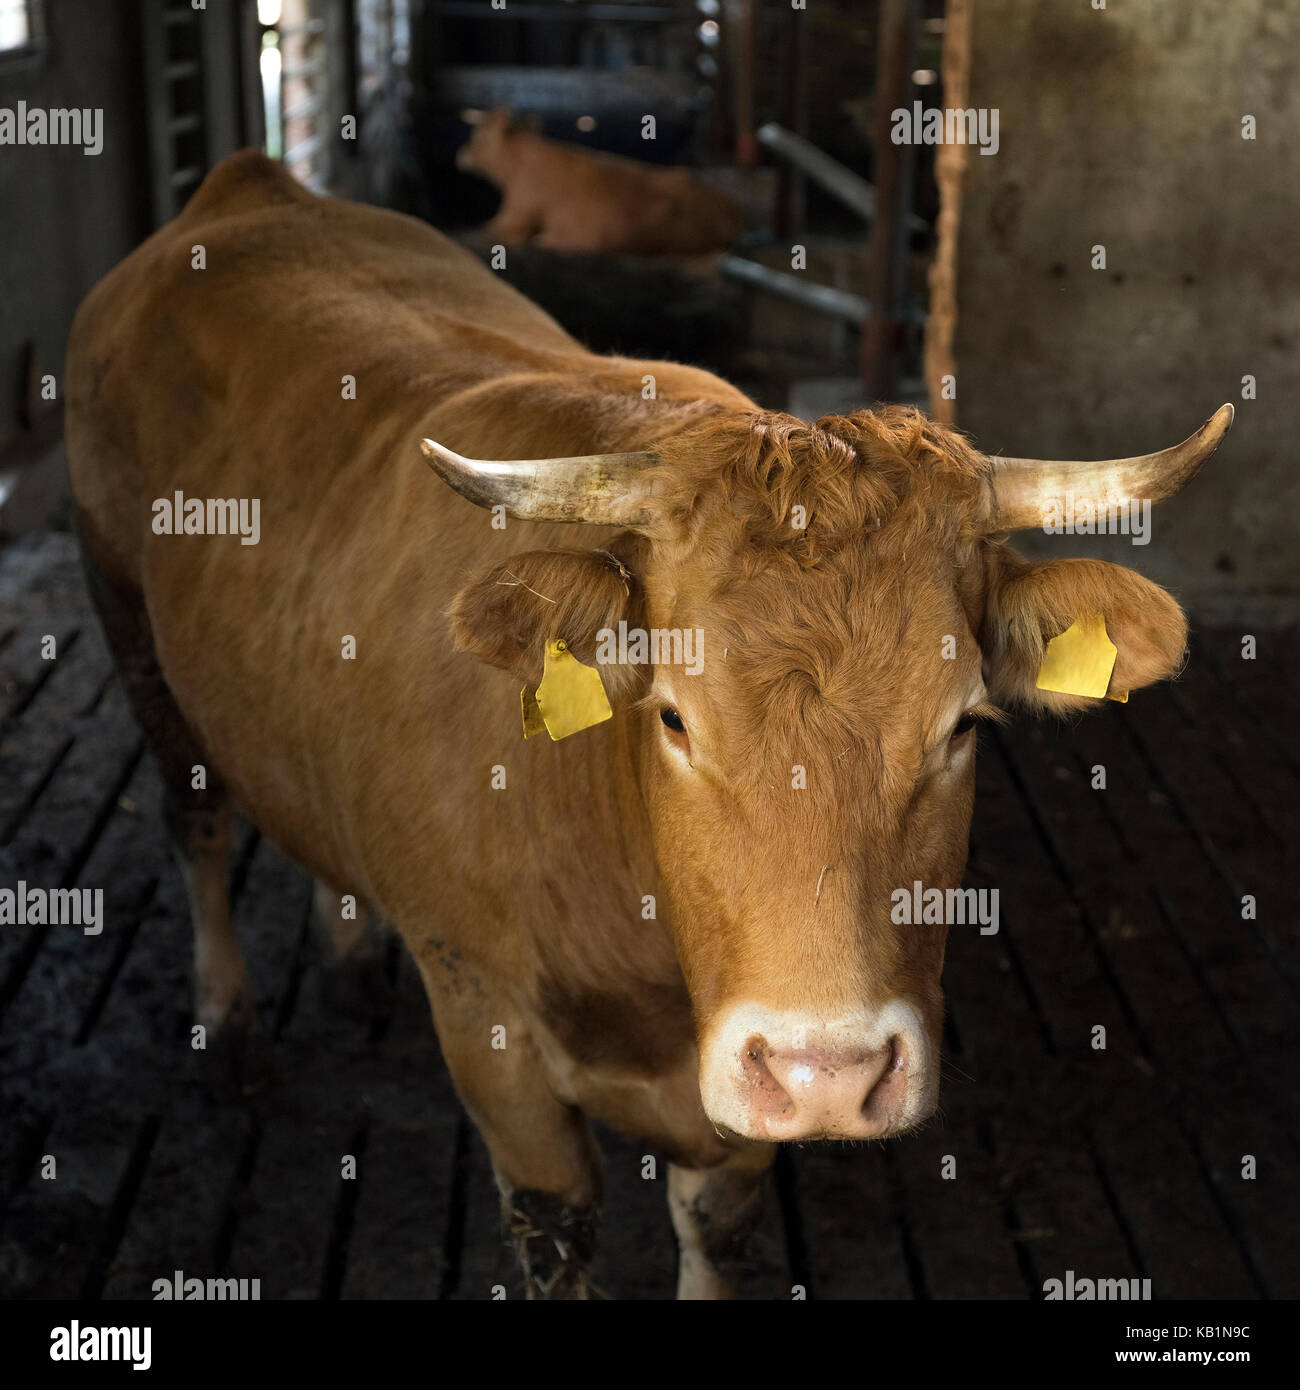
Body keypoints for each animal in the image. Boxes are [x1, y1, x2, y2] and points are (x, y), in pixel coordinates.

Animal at [64, 151, 1230, 1299]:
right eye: (672, 715)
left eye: (962, 727)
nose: (828, 1074)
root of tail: (247, 187)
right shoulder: (487, 1028)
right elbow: (554, 1225)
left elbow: (713, 1228)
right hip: (124, 607)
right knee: (193, 814)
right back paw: (229, 1025)